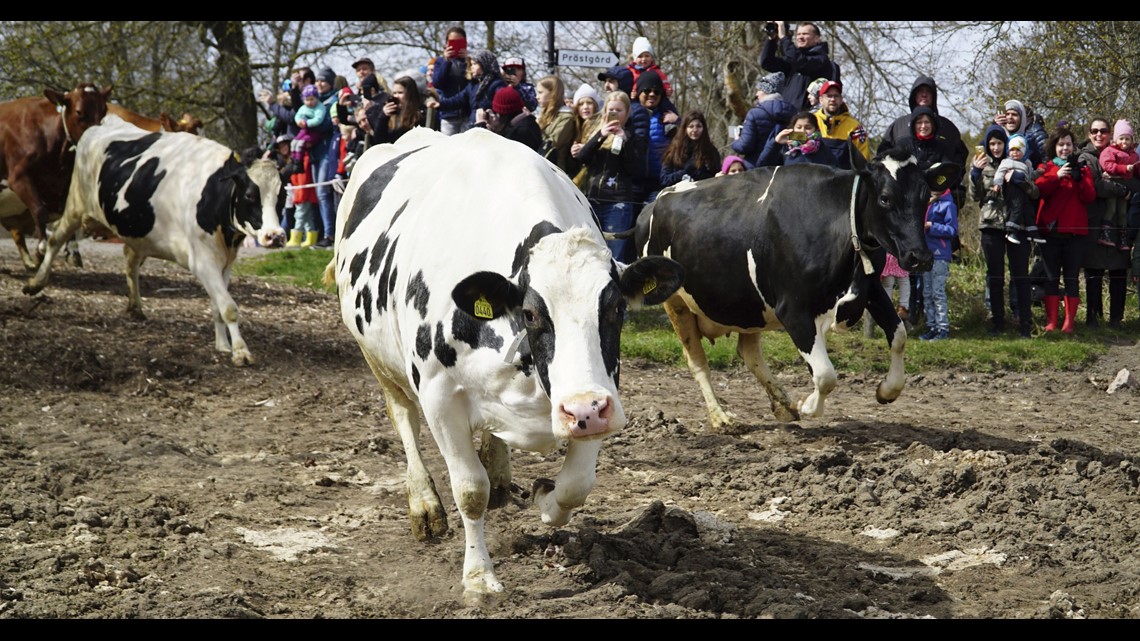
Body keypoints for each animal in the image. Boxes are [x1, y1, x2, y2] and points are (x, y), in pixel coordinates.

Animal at [0, 83, 112, 263]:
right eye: (79, 112)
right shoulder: (18, 178)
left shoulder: (61, 183)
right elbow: (39, 210)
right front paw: (41, 247)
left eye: (104, 110)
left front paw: (72, 250)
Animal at [23, 114, 286, 366]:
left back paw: (135, 306)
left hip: (136, 233)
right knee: (55, 239)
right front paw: (241, 352)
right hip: (76, 202)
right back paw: (35, 283)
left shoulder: (225, 262)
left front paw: (223, 345)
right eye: (250, 194)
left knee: (130, 259)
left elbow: (217, 306)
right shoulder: (202, 261)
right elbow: (229, 307)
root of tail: (105, 122)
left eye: (282, 195)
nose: (276, 236)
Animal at [326, 127, 684, 605]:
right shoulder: (439, 396)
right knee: (403, 417)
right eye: (531, 313)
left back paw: (498, 472)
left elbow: (576, 485)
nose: (584, 410)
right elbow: (469, 491)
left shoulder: (600, 391)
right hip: (377, 358)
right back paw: (424, 504)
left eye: (616, 309)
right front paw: (479, 577)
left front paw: (544, 497)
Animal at [633, 148, 961, 430]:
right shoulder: (793, 310)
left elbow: (899, 337)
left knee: (749, 353)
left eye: (925, 197)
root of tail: (653, 204)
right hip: (676, 303)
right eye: (884, 198)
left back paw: (783, 405)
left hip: (749, 305)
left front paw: (887, 391)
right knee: (697, 362)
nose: (920, 257)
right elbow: (826, 375)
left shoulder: (872, 290)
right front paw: (809, 406)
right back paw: (721, 417)